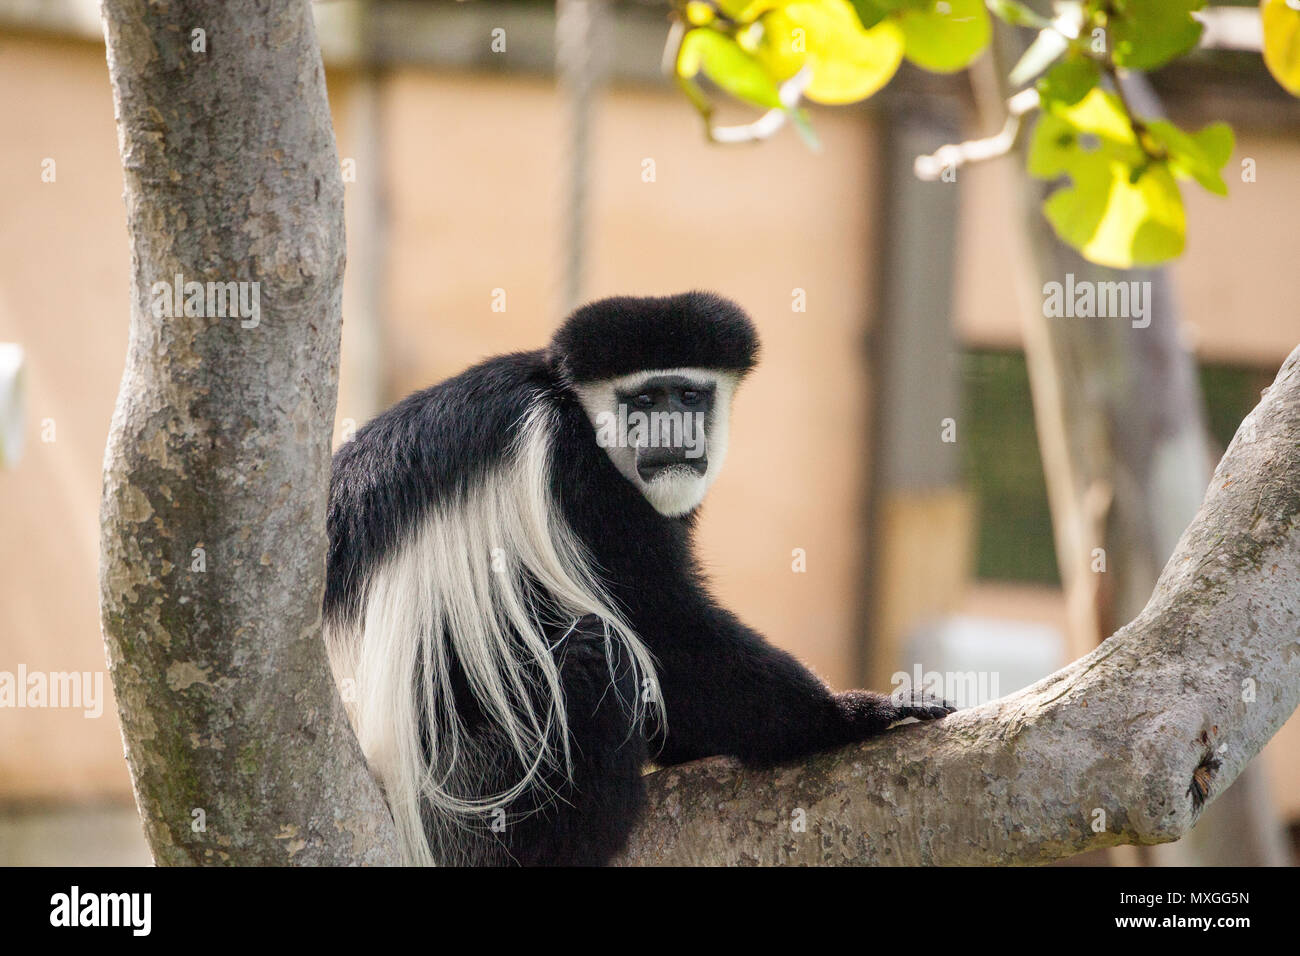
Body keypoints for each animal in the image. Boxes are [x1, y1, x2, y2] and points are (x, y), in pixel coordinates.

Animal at [324, 291, 954, 866]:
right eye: (645, 400)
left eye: (689, 396)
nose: (672, 431)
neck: (569, 403)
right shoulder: (577, 477)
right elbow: (664, 624)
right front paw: (853, 713)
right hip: (470, 779)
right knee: (593, 654)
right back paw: (578, 837)